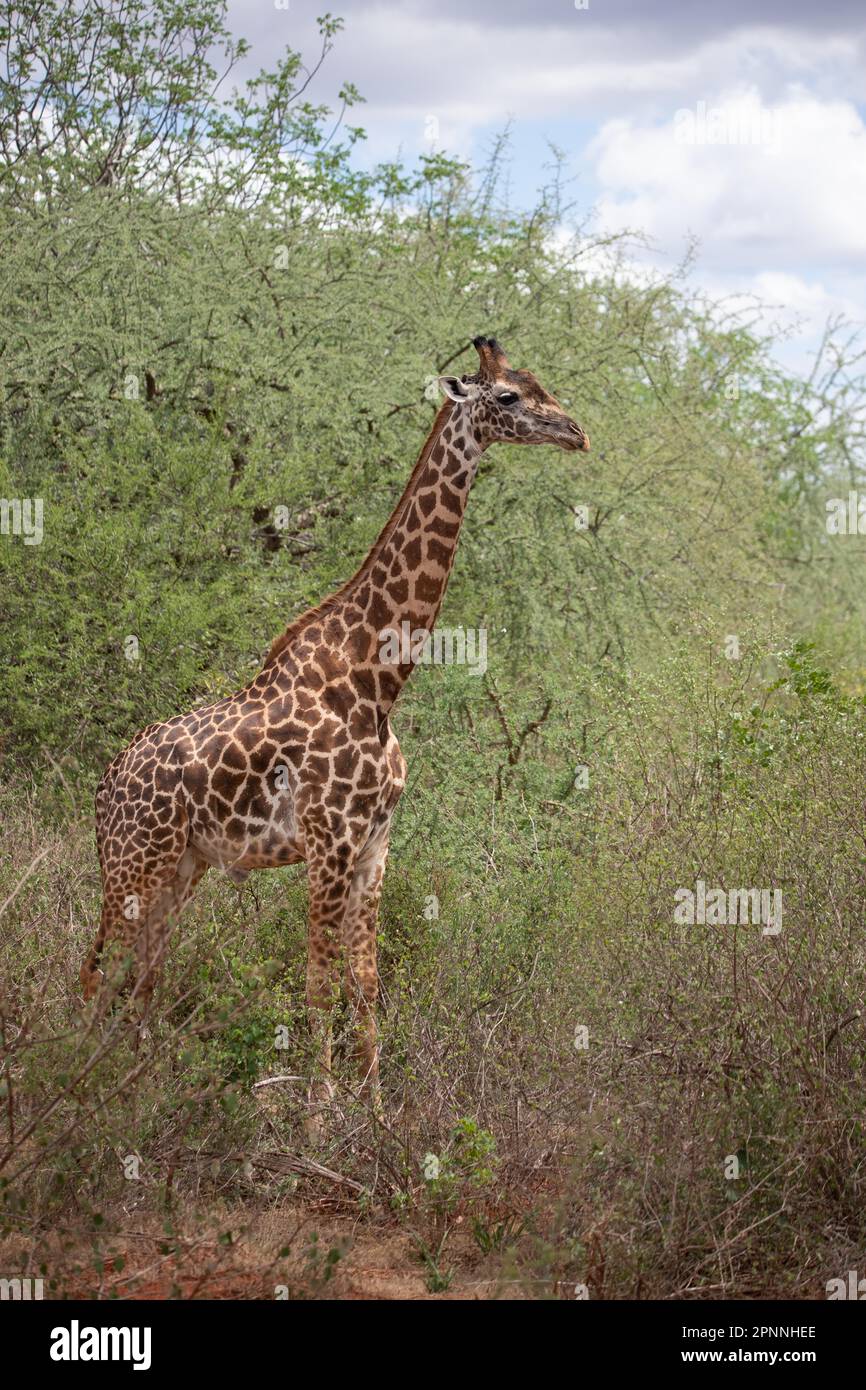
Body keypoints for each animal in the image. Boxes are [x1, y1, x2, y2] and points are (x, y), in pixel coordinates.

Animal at [81, 335, 590, 1126]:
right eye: (508, 395)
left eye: (540, 383)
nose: (577, 433)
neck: (375, 683)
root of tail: (103, 789)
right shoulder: (329, 840)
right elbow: (318, 981)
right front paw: (320, 1115)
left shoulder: (376, 844)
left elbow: (365, 982)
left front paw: (374, 1112)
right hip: (134, 862)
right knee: (97, 968)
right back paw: (72, 1086)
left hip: (183, 866)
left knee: (141, 975)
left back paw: (134, 1092)